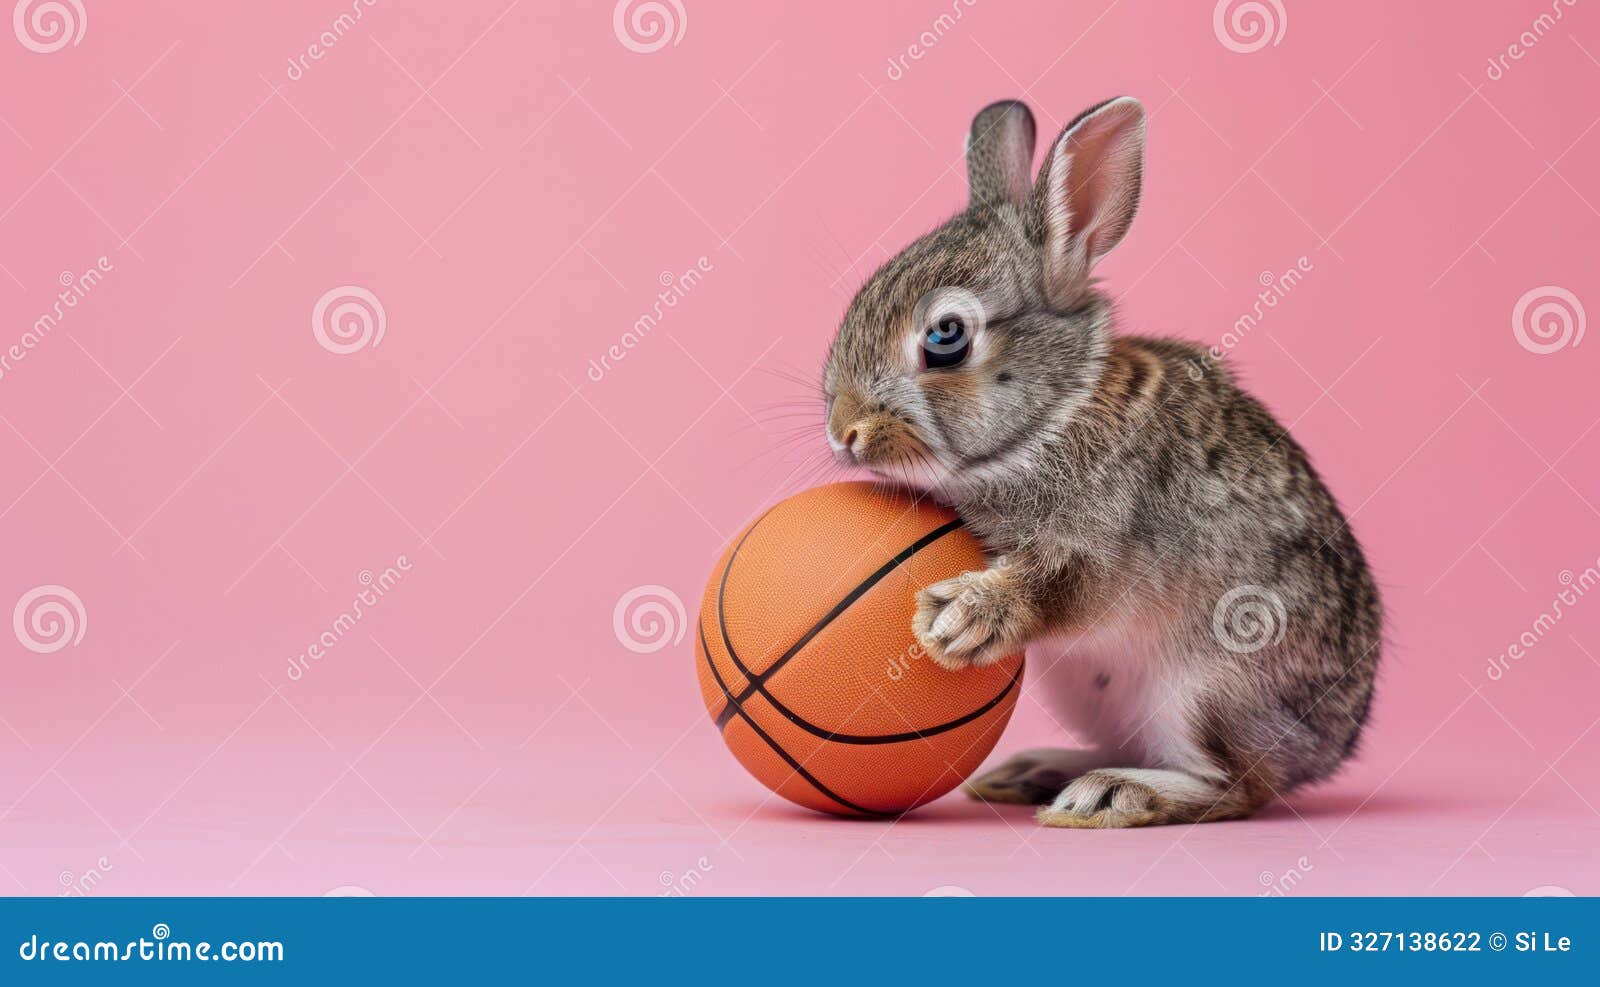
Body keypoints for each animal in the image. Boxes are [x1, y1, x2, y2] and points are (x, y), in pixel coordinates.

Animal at [822, 97, 1381, 828]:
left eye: (946, 336)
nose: (844, 431)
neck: (1054, 413)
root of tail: (1331, 747)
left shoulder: (1097, 543)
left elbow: (1054, 579)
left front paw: (957, 617)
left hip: (1210, 685)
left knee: (1236, 786)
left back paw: (1109, 795)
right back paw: (1034, 772)